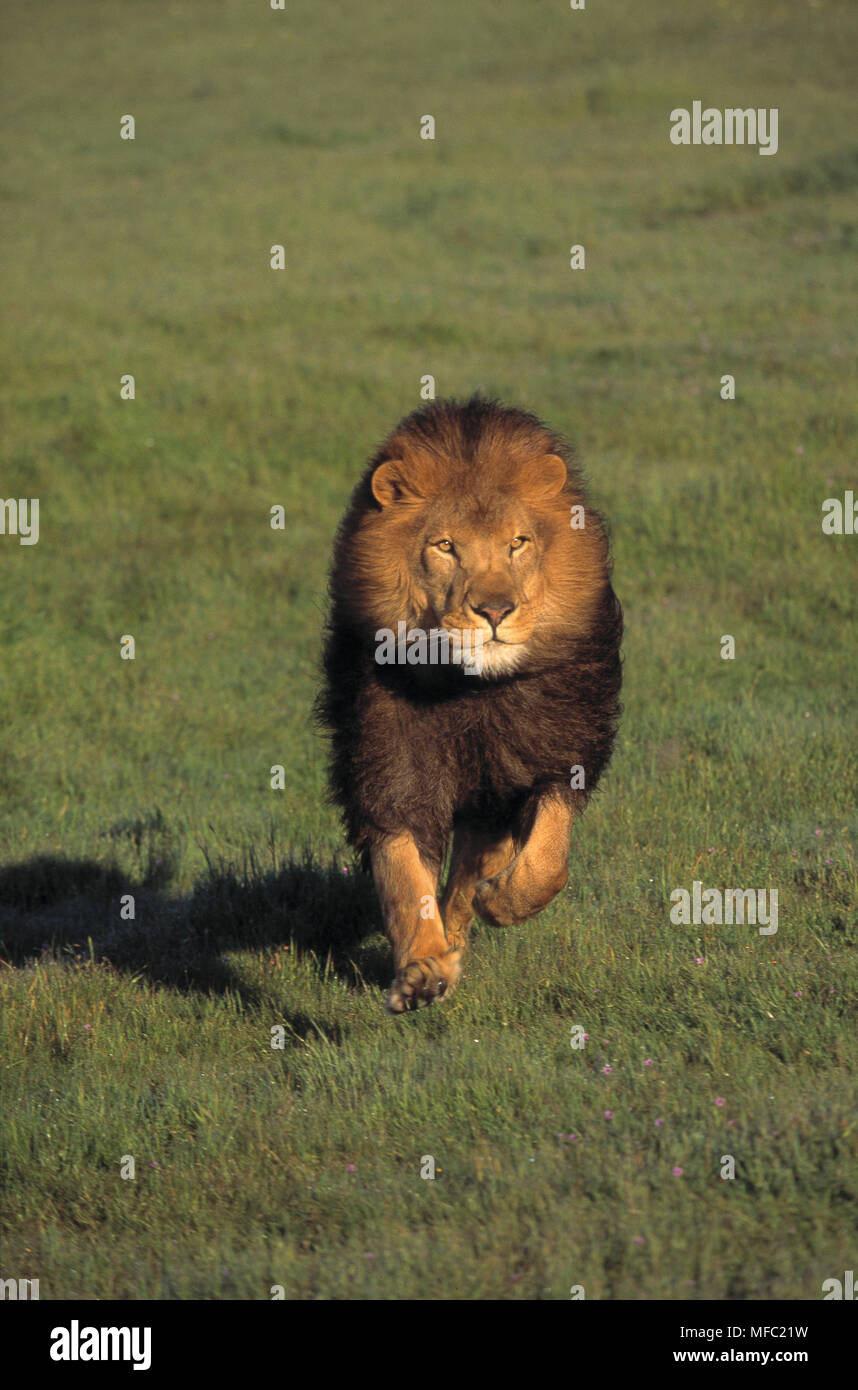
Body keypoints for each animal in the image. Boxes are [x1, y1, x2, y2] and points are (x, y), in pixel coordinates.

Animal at [316, 396, 622, 1013]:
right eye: (445, 546)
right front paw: (421, 972)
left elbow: (546, 861)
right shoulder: (391, 769)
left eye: (518, 543)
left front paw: (499, 902)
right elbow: (405, 879)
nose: (496, 611)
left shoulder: (553, 756)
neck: (472, 694)